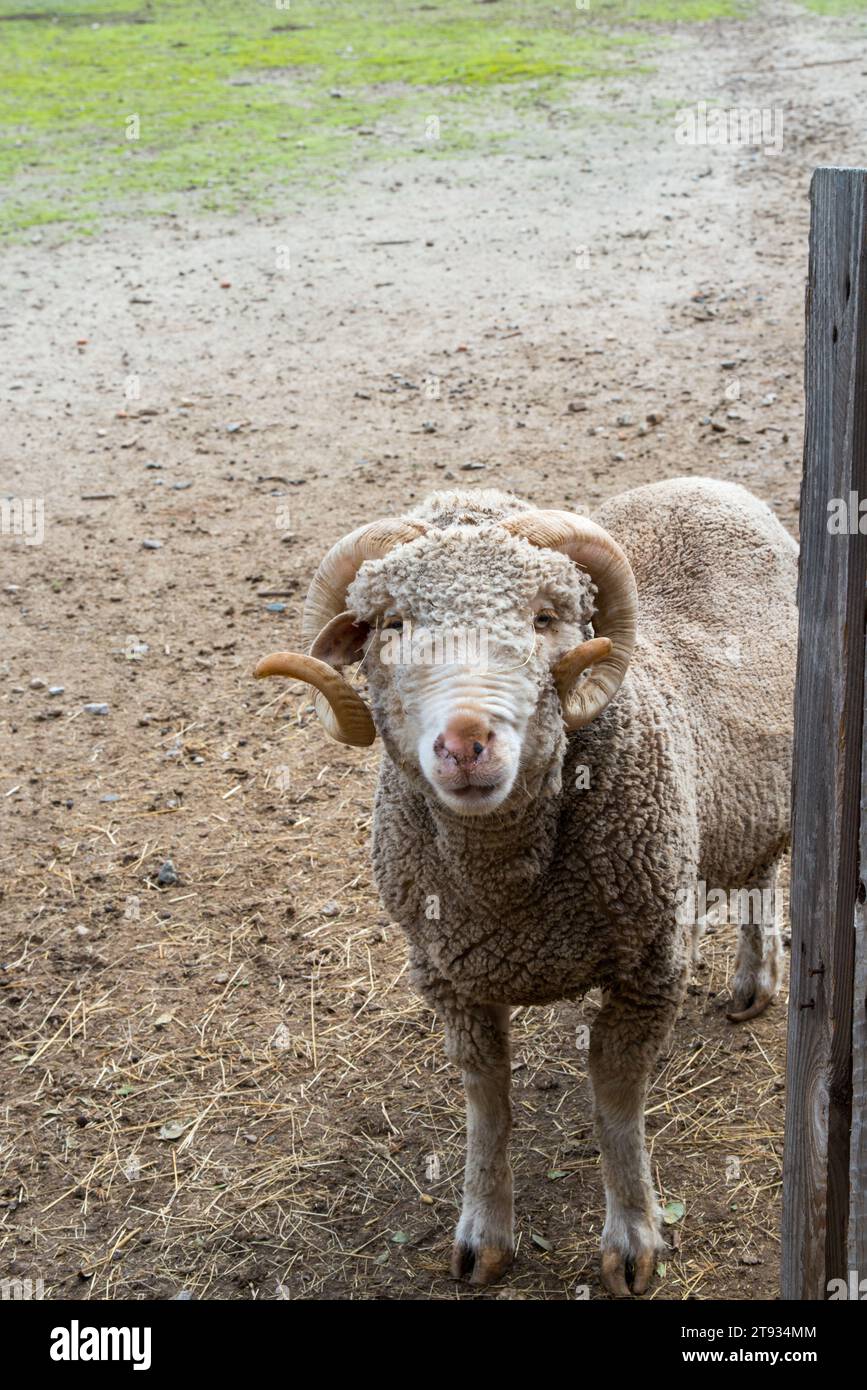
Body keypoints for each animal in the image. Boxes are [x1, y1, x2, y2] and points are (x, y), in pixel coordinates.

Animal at [254, 477, 798, 1296]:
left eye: (545, 619)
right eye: (391, 623)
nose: (466, 743)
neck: (506, 883)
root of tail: (708, 484)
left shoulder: (648, 965)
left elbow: (615, 1104)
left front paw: (632, 1240)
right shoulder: (447, 976)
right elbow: (487, 1102)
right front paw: (483, 1236)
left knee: (768, 877)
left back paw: (756, 978)